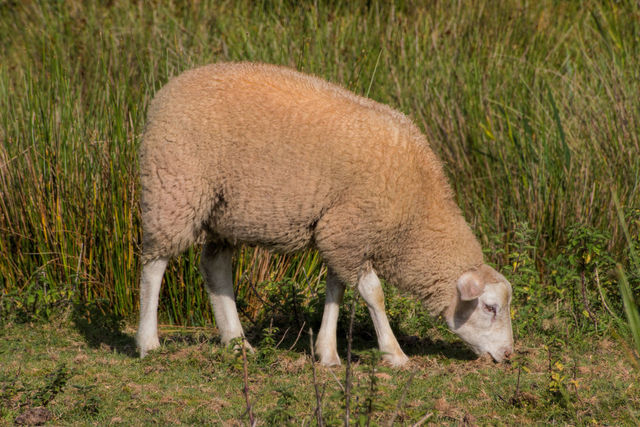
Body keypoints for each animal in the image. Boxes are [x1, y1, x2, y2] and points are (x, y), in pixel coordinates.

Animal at [136, 62, 513, 366]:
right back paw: (148, 343)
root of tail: (169, 88)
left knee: (214, 267)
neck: (416, 214)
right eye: (490, 307)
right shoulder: (350, 230)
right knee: (154, 265)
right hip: (174, 187)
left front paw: (328, 353)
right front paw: (394, 353)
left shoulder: (342, 236)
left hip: (223, 210)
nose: (509, 355)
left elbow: (337, 291)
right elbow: (374, 293)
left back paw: (237, 342)